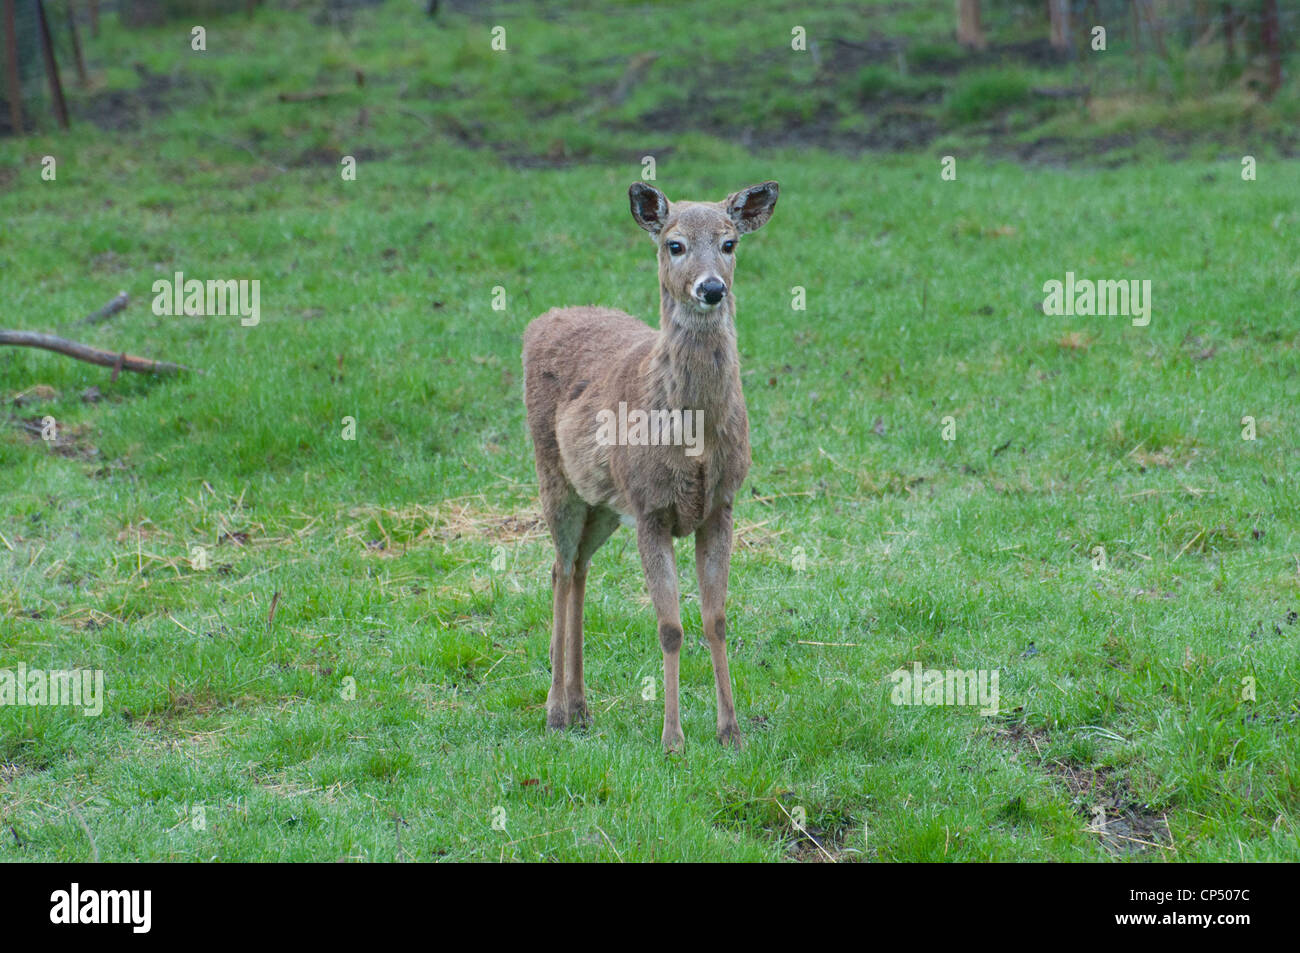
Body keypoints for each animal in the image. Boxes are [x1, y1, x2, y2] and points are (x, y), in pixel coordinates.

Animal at [522, 180, 779, 752]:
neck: (694, 435)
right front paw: (673, 739)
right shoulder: (651, 509)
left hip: (603, 504)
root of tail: (541, 319)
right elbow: (670, 627)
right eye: (674, 244)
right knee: (559, 567)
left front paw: (730, 731)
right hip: (554, 476)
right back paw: (555, 711)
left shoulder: (720, 506)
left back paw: (581, 709)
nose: (711, 288)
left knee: (578, 568)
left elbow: (715, 619)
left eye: (729, 243)